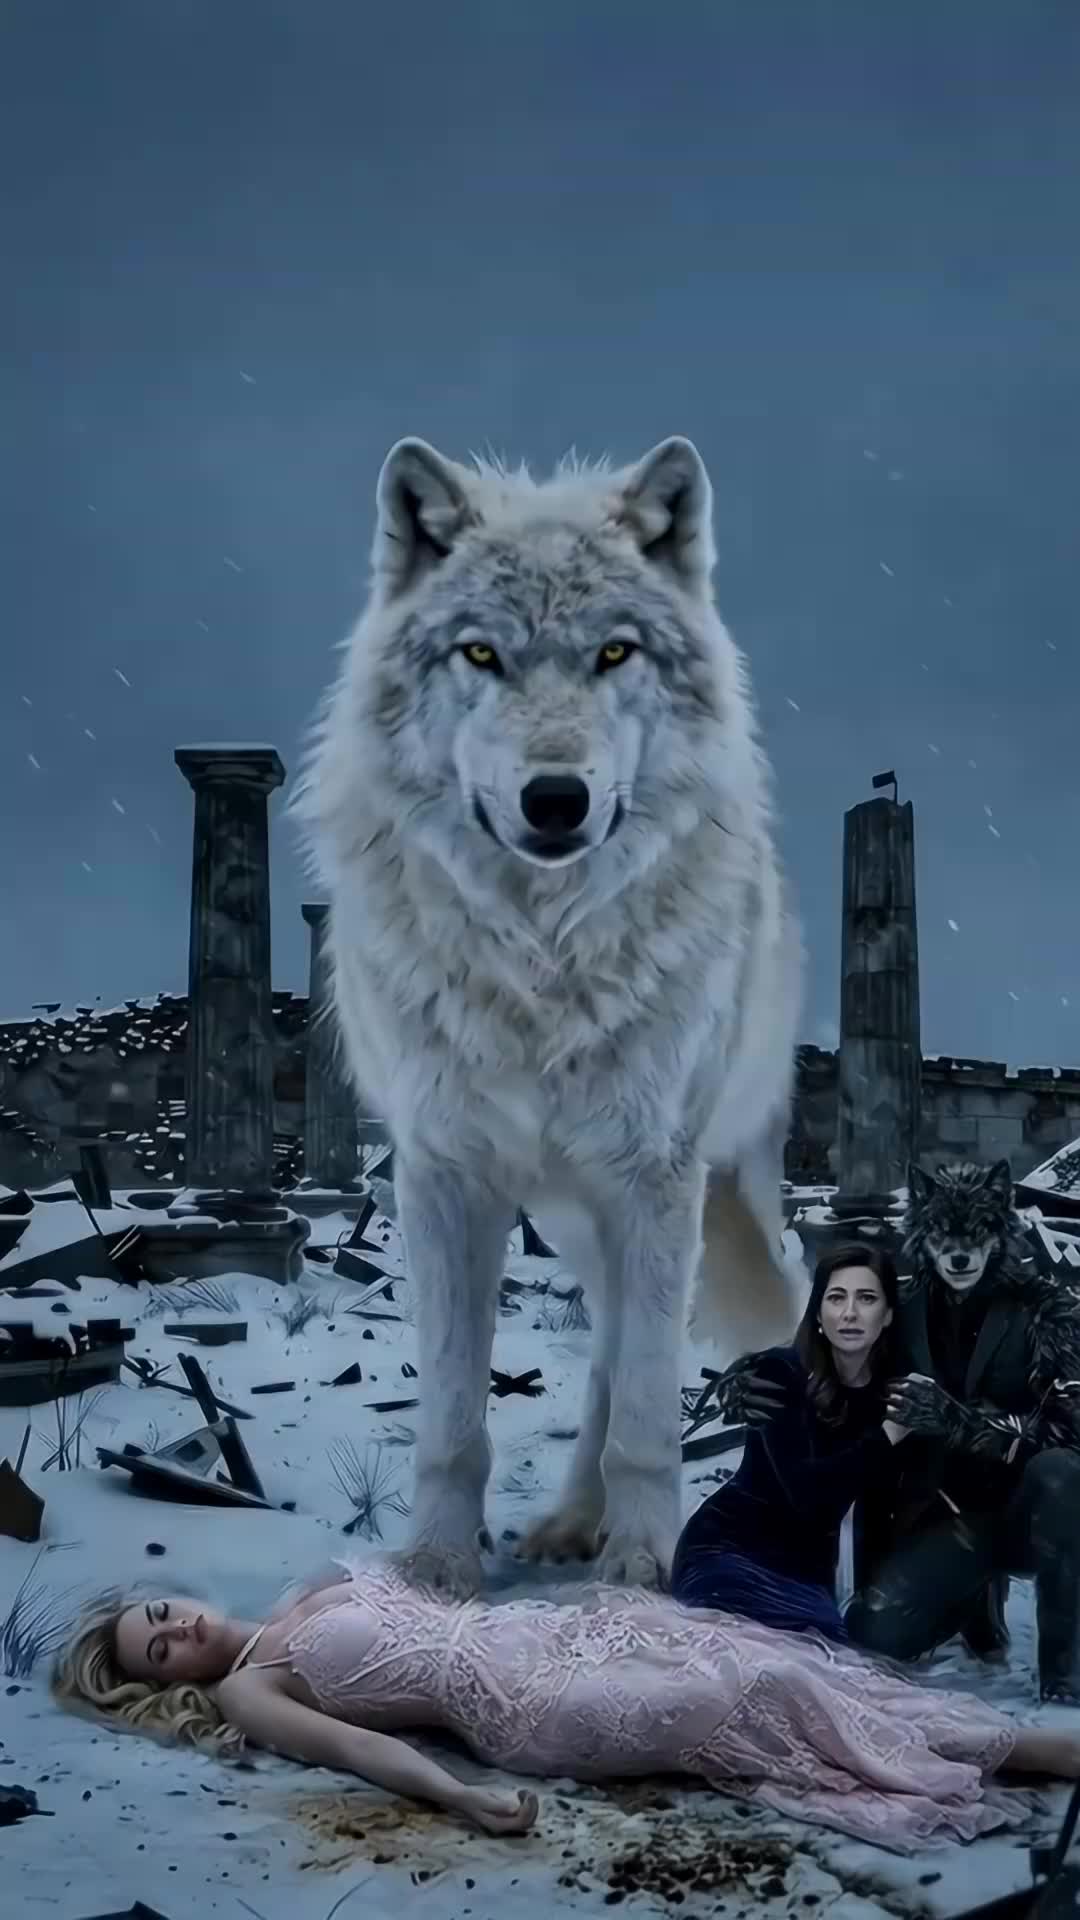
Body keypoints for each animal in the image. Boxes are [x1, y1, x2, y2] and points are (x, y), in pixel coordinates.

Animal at [294, 433, 803, 1597]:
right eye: (480, 655)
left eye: (616, 653)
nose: (556, 798)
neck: (540, 962)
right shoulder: (439, 1176)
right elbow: (451, 1418)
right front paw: (434, 1572)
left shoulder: (657, 1174)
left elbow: (651, 1411)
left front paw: (645, 1566)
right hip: (574, 1218)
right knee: (607, 1341)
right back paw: (571, 1521)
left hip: (682, 1191)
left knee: (632, 1354)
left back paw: (595, 1526)